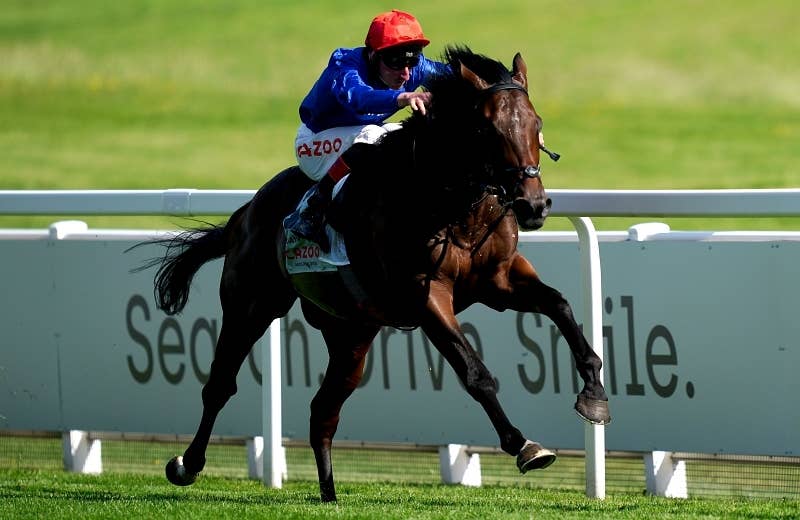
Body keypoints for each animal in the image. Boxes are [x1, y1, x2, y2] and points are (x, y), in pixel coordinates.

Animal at [144, 45, 610, 503]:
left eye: (537, 124)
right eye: (487, 130)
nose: (534, 206)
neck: (447, 202)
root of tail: (243, 214)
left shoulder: (499, 280)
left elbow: (559, 305)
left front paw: (594, 394)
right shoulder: (425, 294)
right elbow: (474, 373)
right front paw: (523, 444)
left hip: (350, 331)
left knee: (323, 410)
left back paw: (329, 494)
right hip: (251, 305)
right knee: (220, 384)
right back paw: (187, 464)